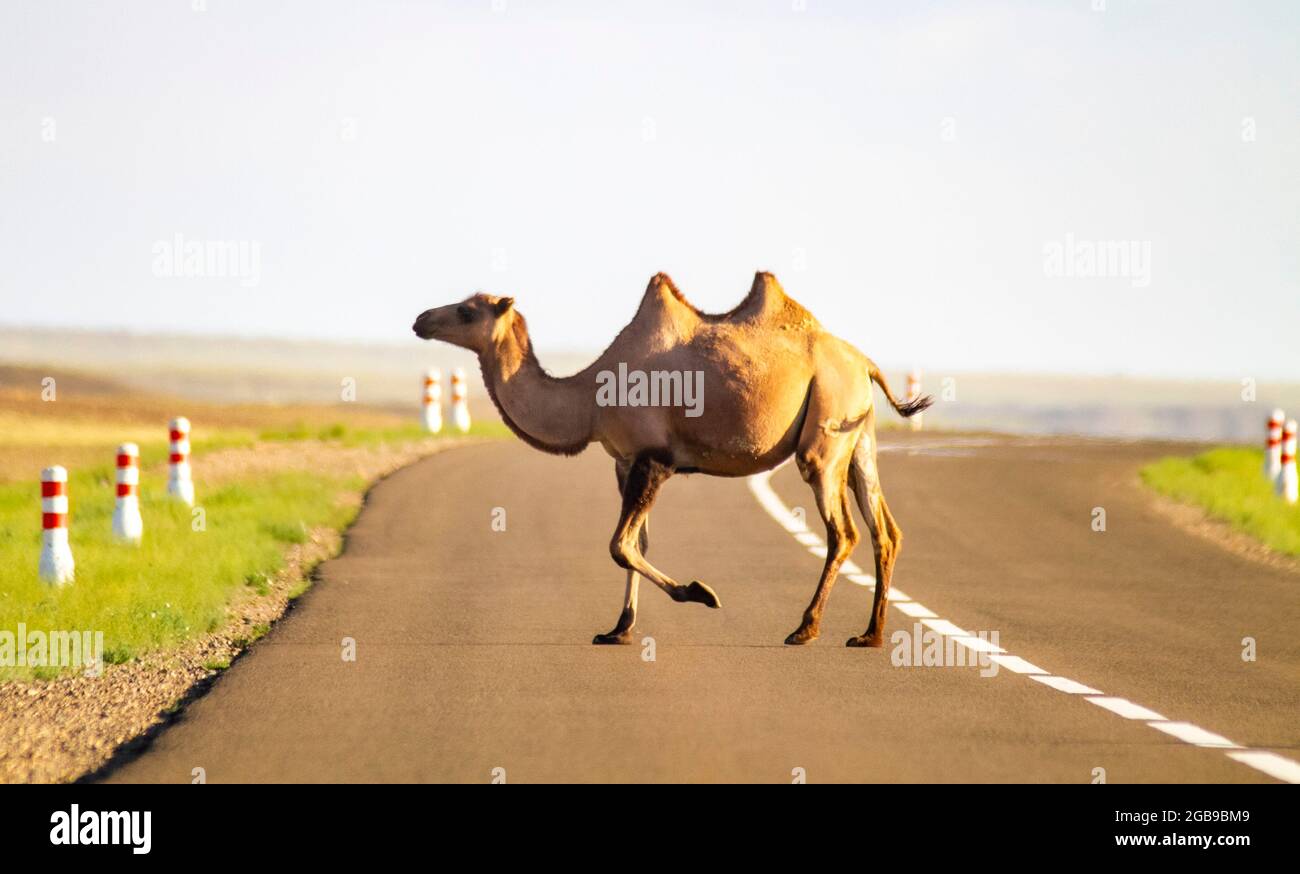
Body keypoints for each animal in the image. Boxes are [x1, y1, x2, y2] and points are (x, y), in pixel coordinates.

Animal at [412, 272, 932, 647]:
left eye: (466, 310)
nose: (420, 319)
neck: (589, 400)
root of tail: (866, 362)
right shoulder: (623, 462)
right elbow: (639, 543)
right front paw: (619, 629)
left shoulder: (654, 459)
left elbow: (620, 545)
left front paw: (700, 593)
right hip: (857, 434)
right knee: (885, 530)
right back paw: (869, 635)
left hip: (823, 434)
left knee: (842, 531)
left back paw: (805, 629)